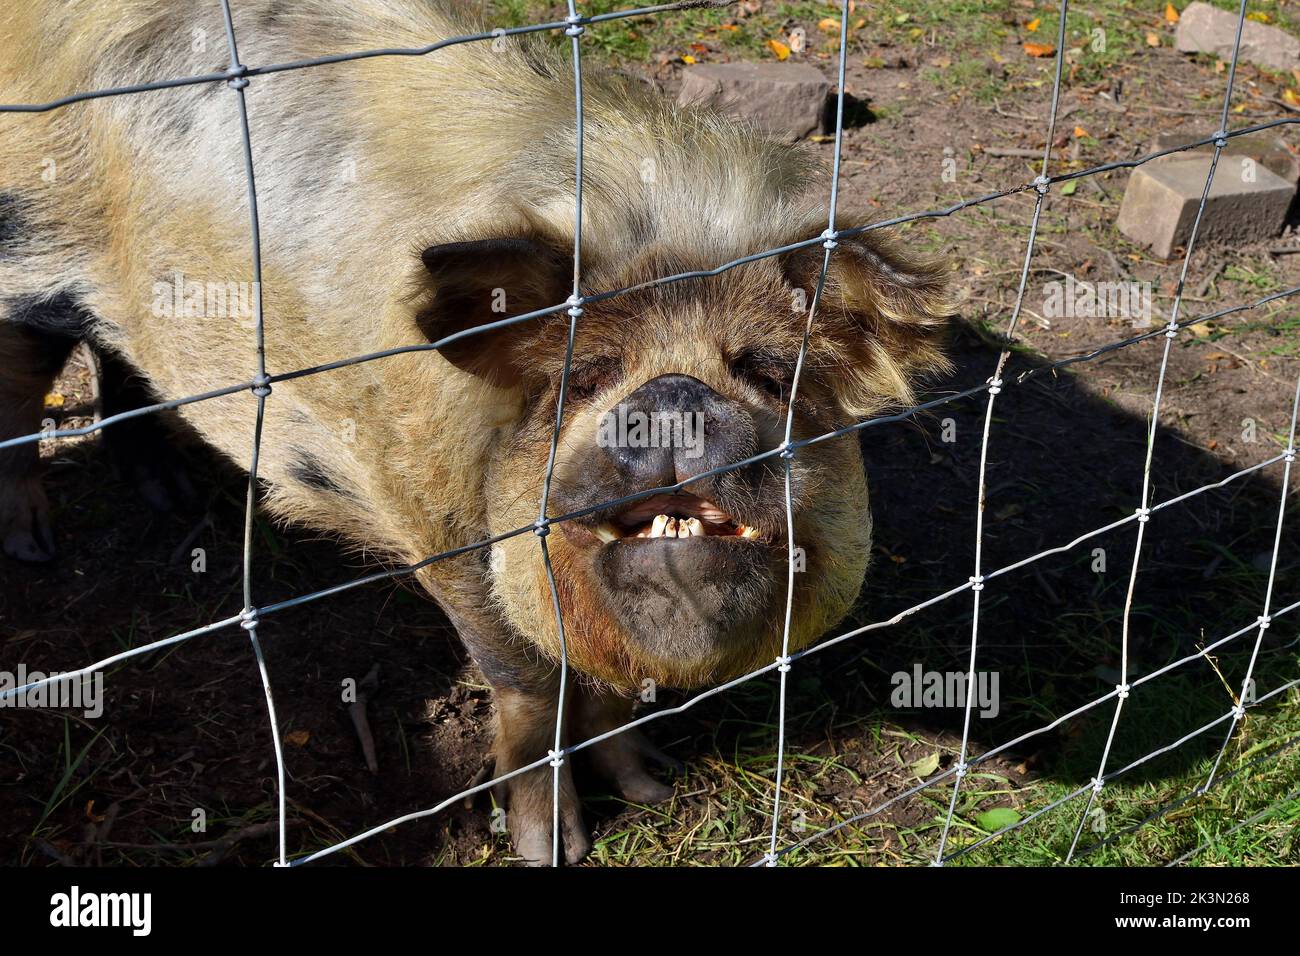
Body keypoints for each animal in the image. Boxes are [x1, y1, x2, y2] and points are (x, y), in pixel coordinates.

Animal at [0, 0, 951, 863]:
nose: (673, 394)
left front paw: (653, 785)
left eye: (769, 373)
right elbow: (528, 685)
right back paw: (36, 546)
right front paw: (551, 850)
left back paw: (171, 496)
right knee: (25, 379)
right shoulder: (435, 525)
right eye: (584, 378)